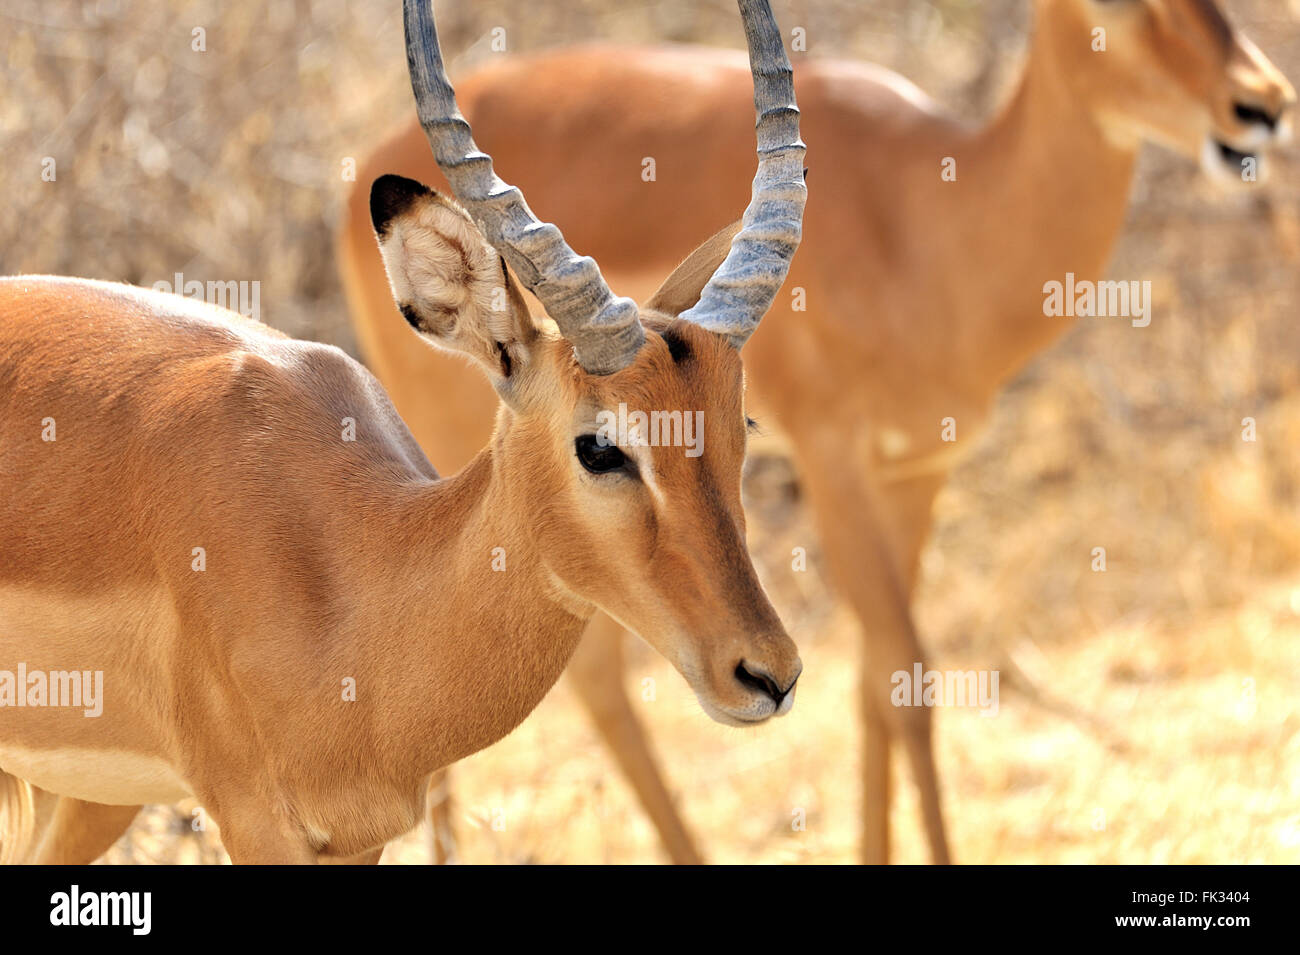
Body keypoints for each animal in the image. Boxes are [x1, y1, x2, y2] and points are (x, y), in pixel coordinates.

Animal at [0, 0, 807, 865]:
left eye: (741, 423)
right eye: (598, 445)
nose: (770, 673)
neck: (354, 573)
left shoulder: (359, 836)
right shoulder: (253, 820)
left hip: (85, 794)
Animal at [339, 0, 1295, 864]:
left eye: (742, 426)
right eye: (601, 444)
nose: (1260, 105)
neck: (934, 219)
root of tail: (363, 175)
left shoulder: (918, 471)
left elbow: (885, 677)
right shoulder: (837, 462)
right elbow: (905, 673)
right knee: (574, 677)